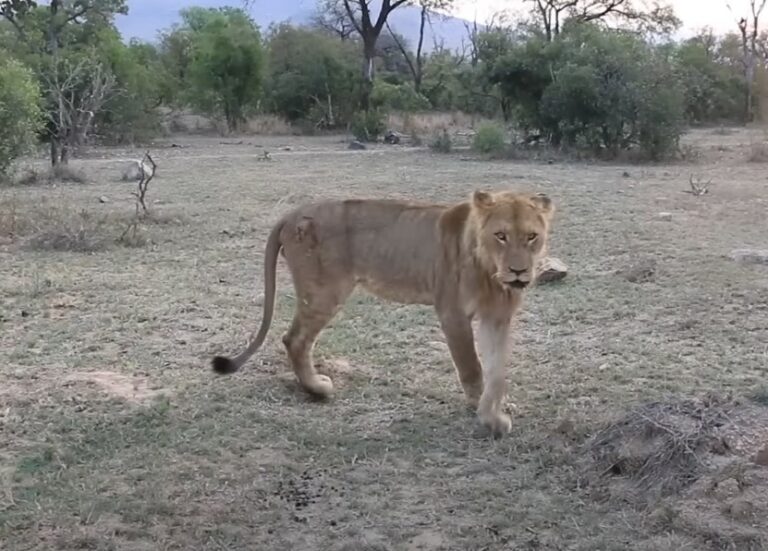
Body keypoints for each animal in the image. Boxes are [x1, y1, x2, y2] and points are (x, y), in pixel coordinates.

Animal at [211, 189, 556, 436]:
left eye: (531, 236)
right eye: (501, 236)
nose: (518, 271)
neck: (492, 275)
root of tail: (291, 213)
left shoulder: (497, 317)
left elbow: (497, 371)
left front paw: (496, 410)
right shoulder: (452, 313)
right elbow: (472, 367)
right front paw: (483, 414)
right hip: (324, 292)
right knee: (294, 339)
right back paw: (317, 389)